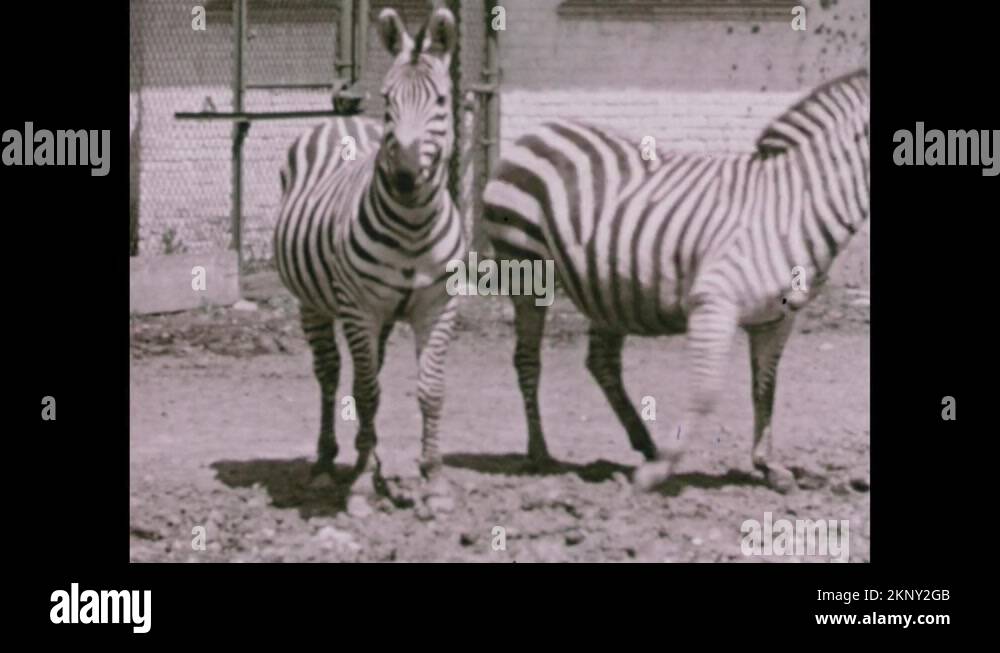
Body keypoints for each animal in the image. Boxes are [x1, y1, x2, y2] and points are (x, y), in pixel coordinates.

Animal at [273, 7, 465, 512]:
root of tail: (344, 120)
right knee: (331, 374)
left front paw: (435, 481)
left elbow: (430, 390)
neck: (414, 226)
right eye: (388, 99)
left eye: (442, 100)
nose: (404, 177)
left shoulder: (438, 307)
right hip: (316, 303)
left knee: (367, 372)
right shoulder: (359, 308)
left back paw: (371, 460)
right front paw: (359, 484)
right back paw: (327, 465)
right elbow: (364, 392)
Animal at [482, 69, 869, 492]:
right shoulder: (713, 303)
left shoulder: (778, 319)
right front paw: (661, 472)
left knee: (601, 363)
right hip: (525, 270)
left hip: (607, 285)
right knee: (527, 359)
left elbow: (765, 390)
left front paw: (768, 466)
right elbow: (705, 392)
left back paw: (645, 444)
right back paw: (540, 454)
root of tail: (535, 132)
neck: (794, 207)